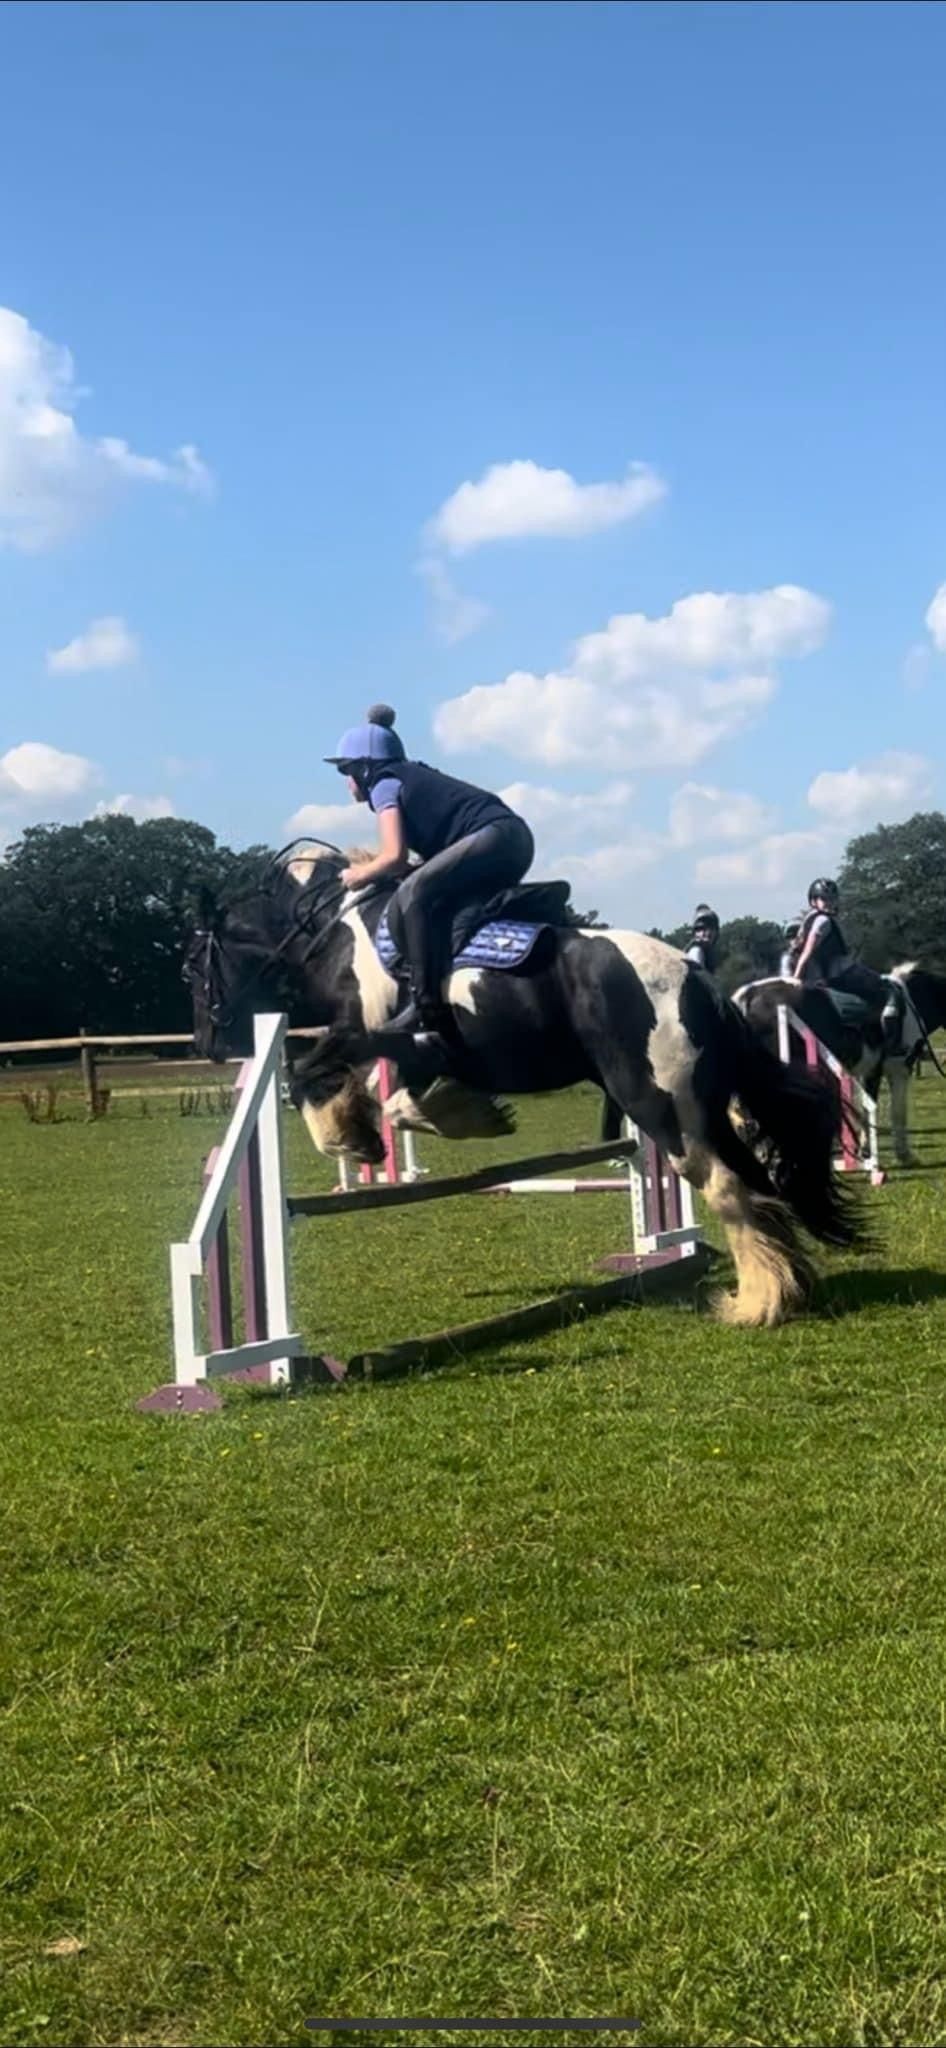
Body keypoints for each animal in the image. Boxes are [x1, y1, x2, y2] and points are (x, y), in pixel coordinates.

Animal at [183, 842, 868, 1329]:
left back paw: (757, 1304)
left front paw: (360, 1136)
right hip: (701, 1107)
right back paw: (787, 1287)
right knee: (755, 1180)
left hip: (660, 1105)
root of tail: (700, 984)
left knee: (725, 1184)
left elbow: (314, 1076)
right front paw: (435, 1119)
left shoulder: (369, 1033)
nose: (207, 1043)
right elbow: (376, 1090)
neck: (334, 934)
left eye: (193, 964)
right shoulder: (400, 1048)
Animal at [732, 966, 946, 1166]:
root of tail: (747, 998)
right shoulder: (898, 1070)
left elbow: (865, 1108)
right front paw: (904, 1155)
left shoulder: (869, 1072)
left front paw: (865, 1150)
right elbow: (897, 1112)